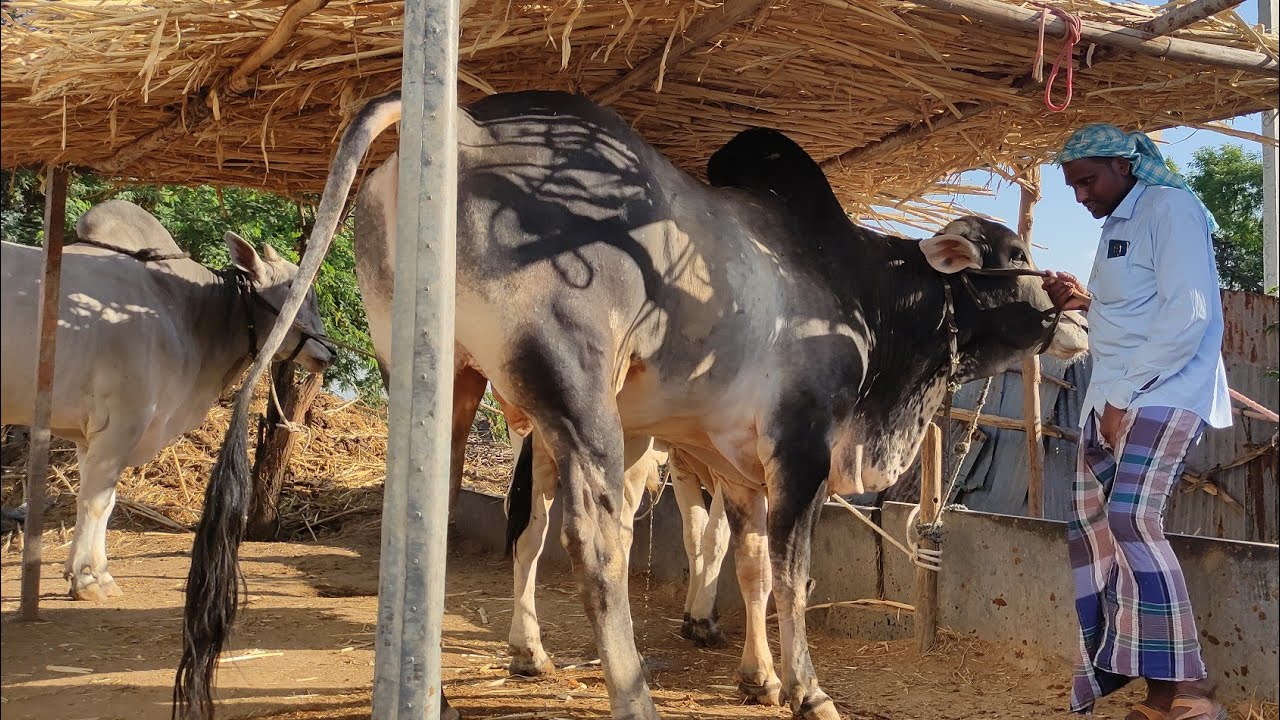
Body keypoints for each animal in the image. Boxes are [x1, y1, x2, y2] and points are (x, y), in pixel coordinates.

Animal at [0, 200, 334, 601]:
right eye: (298, 292)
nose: (329, 352)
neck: (185, 312)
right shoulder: (123, 422)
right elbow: (96, 502)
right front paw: (87, 579)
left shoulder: (89, 435)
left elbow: (102, 501)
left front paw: (96, 573)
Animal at [175, 90, 1087, 720]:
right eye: (1012, 254)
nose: (1077, 311)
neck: (862, 294)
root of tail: (466, 128)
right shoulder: (800, 453)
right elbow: (791, 577)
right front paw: (807, 690)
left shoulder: (737, 465)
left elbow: (750, 569)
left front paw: (756, 676)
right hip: (580, 396)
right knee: (594, 544)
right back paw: (631, 693)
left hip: (444, 377)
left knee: (434, 522)